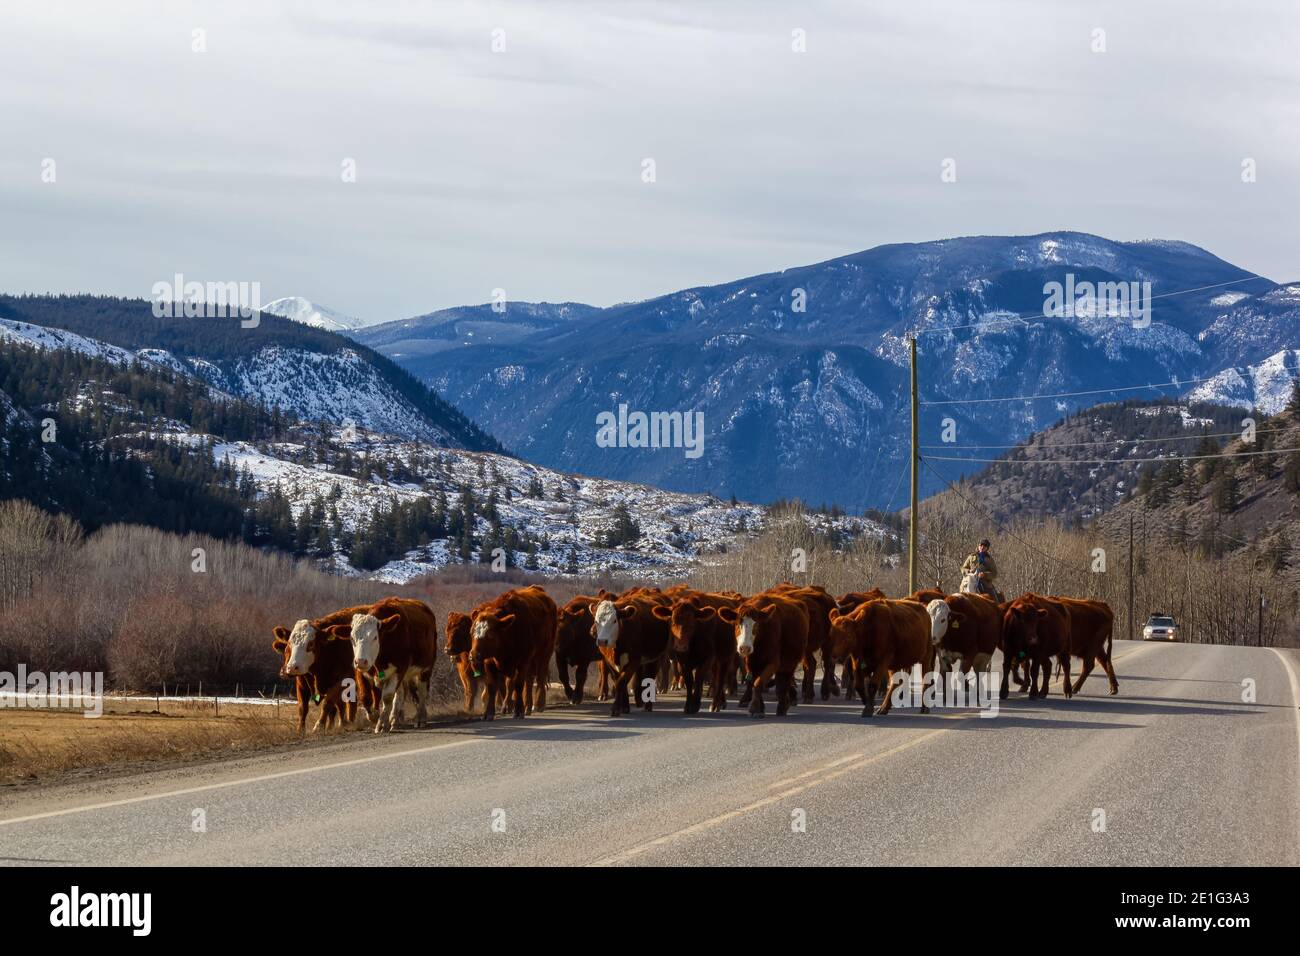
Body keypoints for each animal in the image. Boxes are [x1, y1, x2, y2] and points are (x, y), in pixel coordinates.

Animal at [272, 605, 377, 735]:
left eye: (311, 644)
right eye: (289, 644)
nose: (291, 667)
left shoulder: (341, 681)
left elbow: (327, 703)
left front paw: (320, 725)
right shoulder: (301, 683)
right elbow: (303, 707)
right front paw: (301, 730)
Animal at [469, 585, 558, 720]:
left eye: (490, 635)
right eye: (472, 632)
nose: (474, 656)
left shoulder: (522, 662)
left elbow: (518, 684)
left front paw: (518, 710)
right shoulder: (489, 663)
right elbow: (492, 687)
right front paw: (488, 713)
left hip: (544, 653)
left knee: (540, 677)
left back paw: (538, 704)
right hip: (530, 662)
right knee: (528, 680)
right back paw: (527, 706)